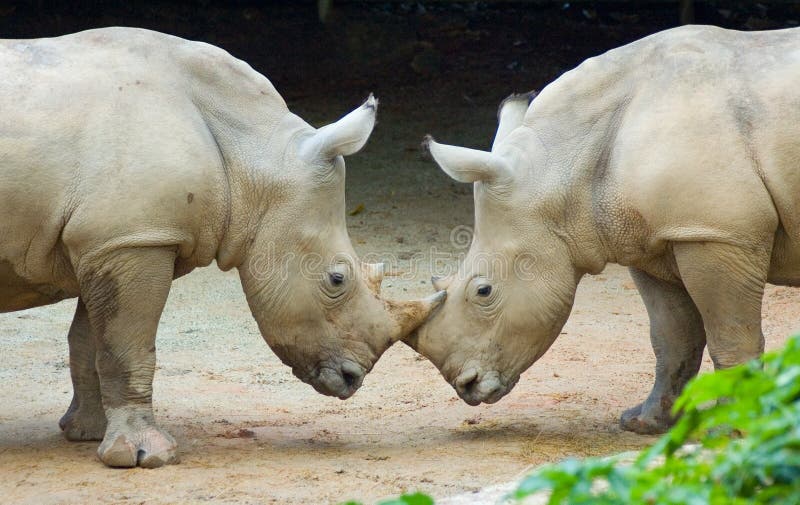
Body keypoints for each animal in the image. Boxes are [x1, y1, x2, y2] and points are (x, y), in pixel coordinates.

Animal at [0, 27, 444, 468]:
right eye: (336, 279)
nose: (354, 378)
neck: (253, 153)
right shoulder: (134, 240)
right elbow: (127, 347)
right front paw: (145, 456)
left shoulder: (107, 239)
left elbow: (90, 341)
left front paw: (87, 434)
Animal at [410, 25, 800, 434]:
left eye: (483, 291)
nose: (465, 386)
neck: (559, 169)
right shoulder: (657, 239)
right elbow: (671, 336)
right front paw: (645, 423)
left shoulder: (718, 233)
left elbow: (730, 338)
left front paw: (730, 431)